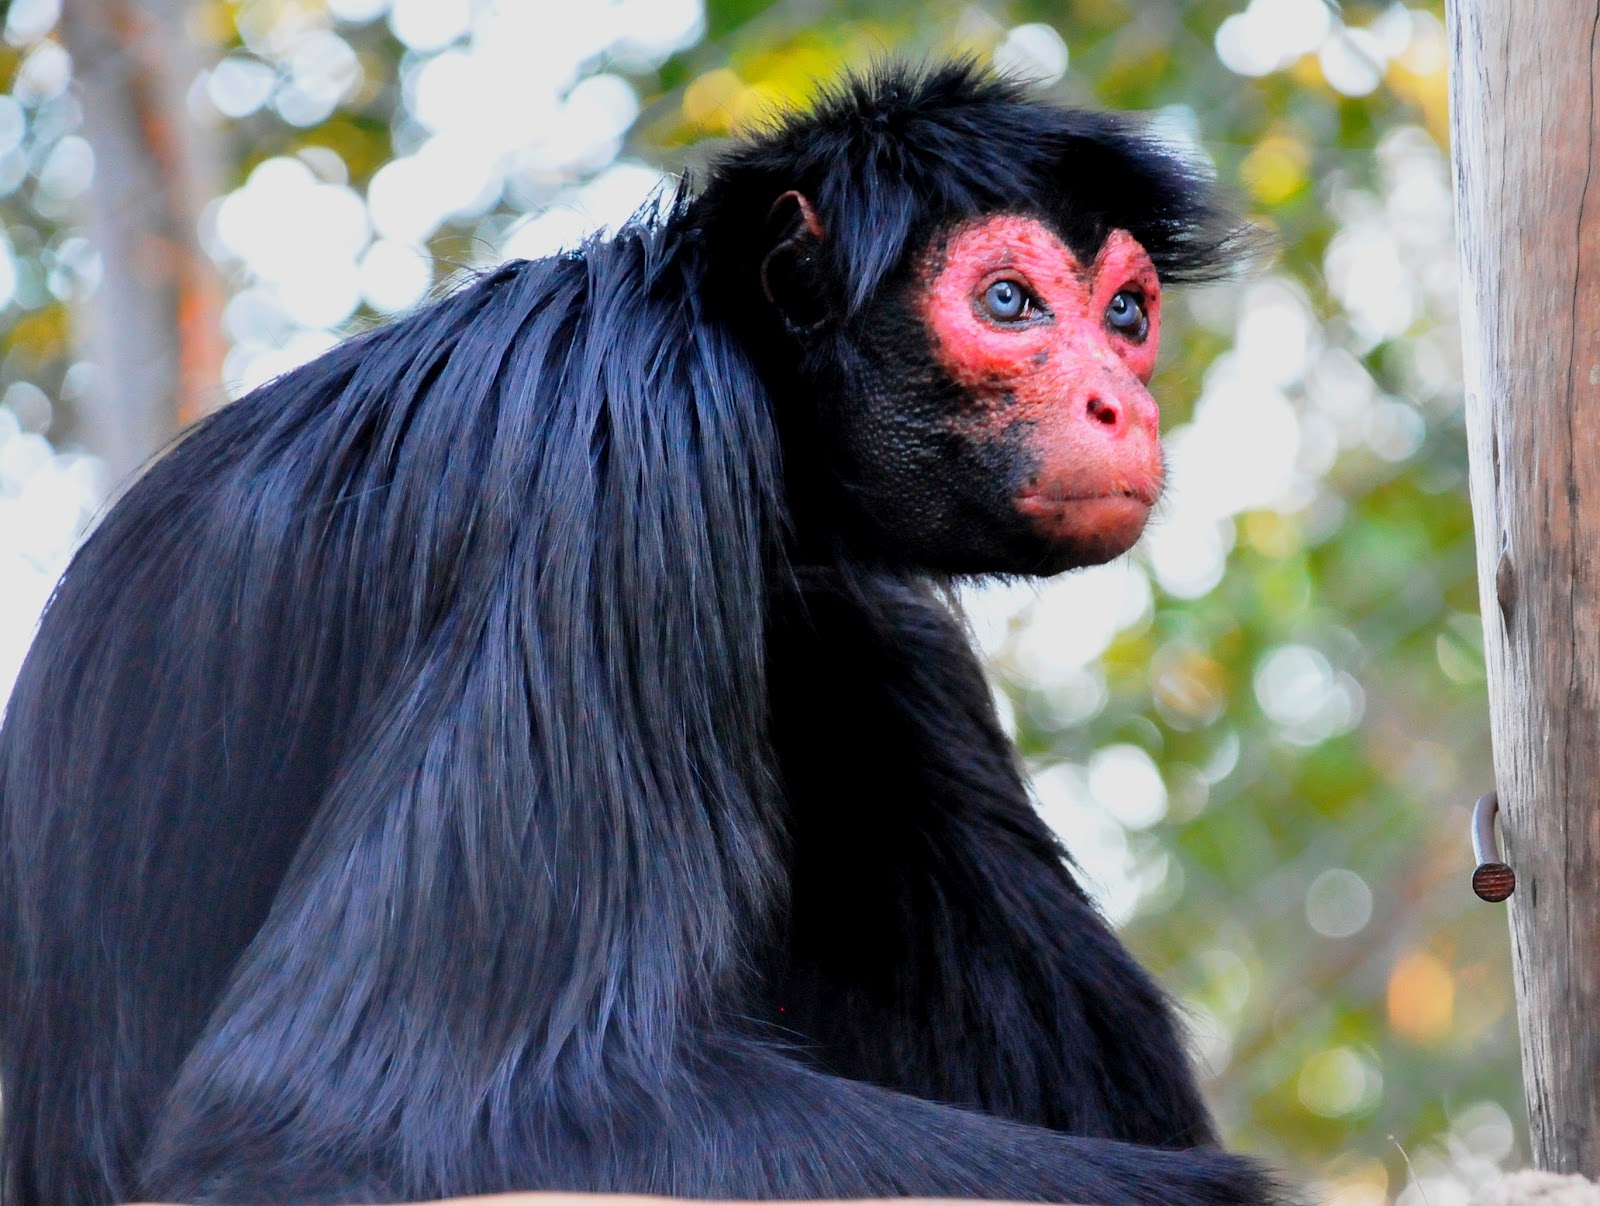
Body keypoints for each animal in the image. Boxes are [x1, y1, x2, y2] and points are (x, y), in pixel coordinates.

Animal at [0, 62, 1285, 1205]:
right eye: (1009, 302)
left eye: (1125, 315)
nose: (1123, 406)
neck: (703, 326)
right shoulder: (616, 446)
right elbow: (334, 1108)